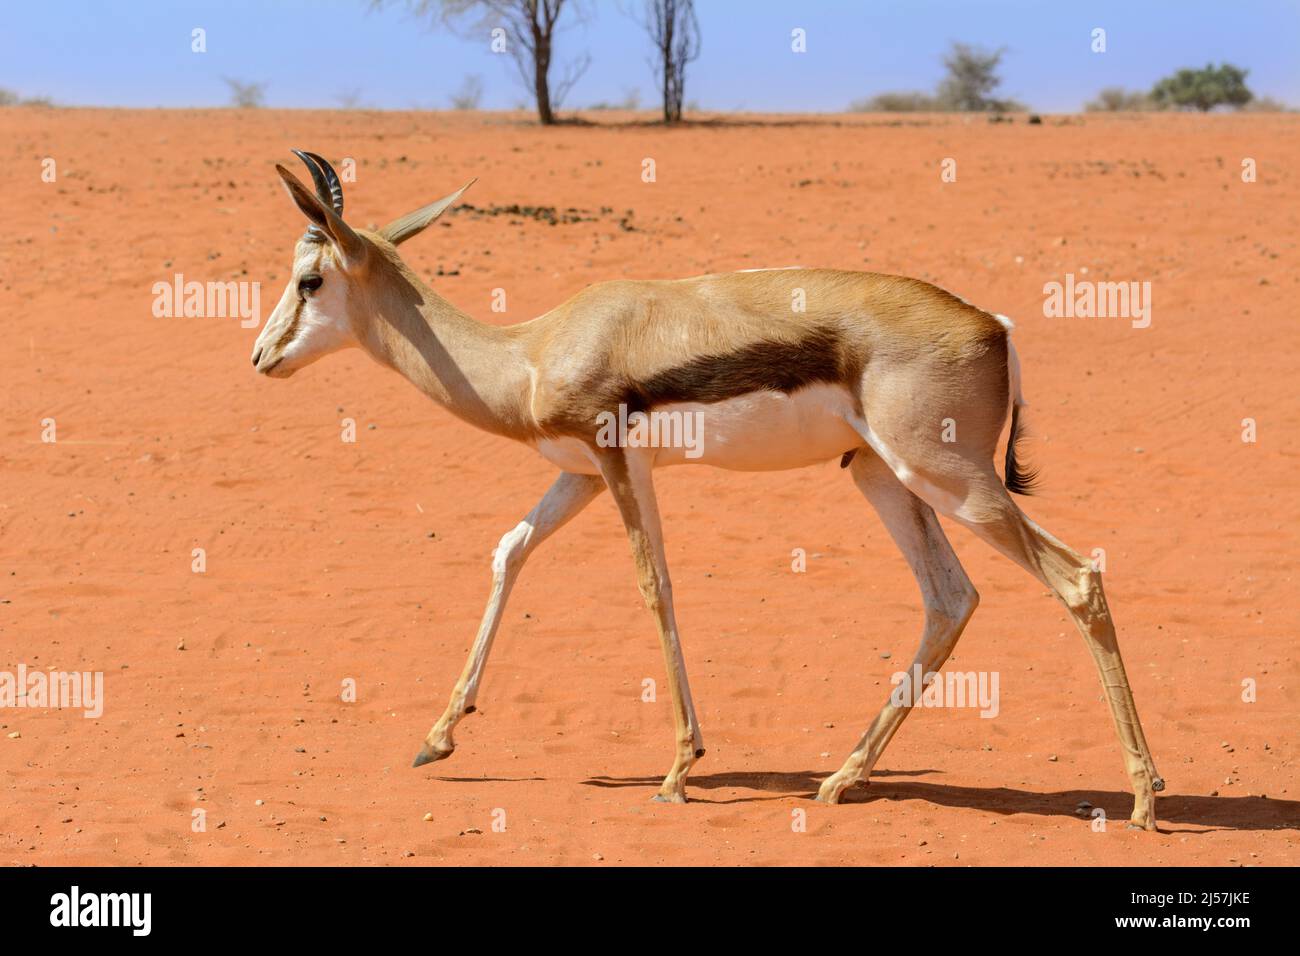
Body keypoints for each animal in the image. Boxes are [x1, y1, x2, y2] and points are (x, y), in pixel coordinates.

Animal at [252, 150, 1165, 829]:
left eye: (310, 281)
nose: (261, 357)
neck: (530, 353)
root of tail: (994, 327)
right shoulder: (579, 474)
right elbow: (510, 552)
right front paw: (438, 738)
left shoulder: (618, 465)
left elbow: (653, 584)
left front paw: (678, 770)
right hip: (884, 477)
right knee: (950, 598)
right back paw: (842, 780)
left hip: (949, 480)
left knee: (1077, 578)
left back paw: (1144, 798)